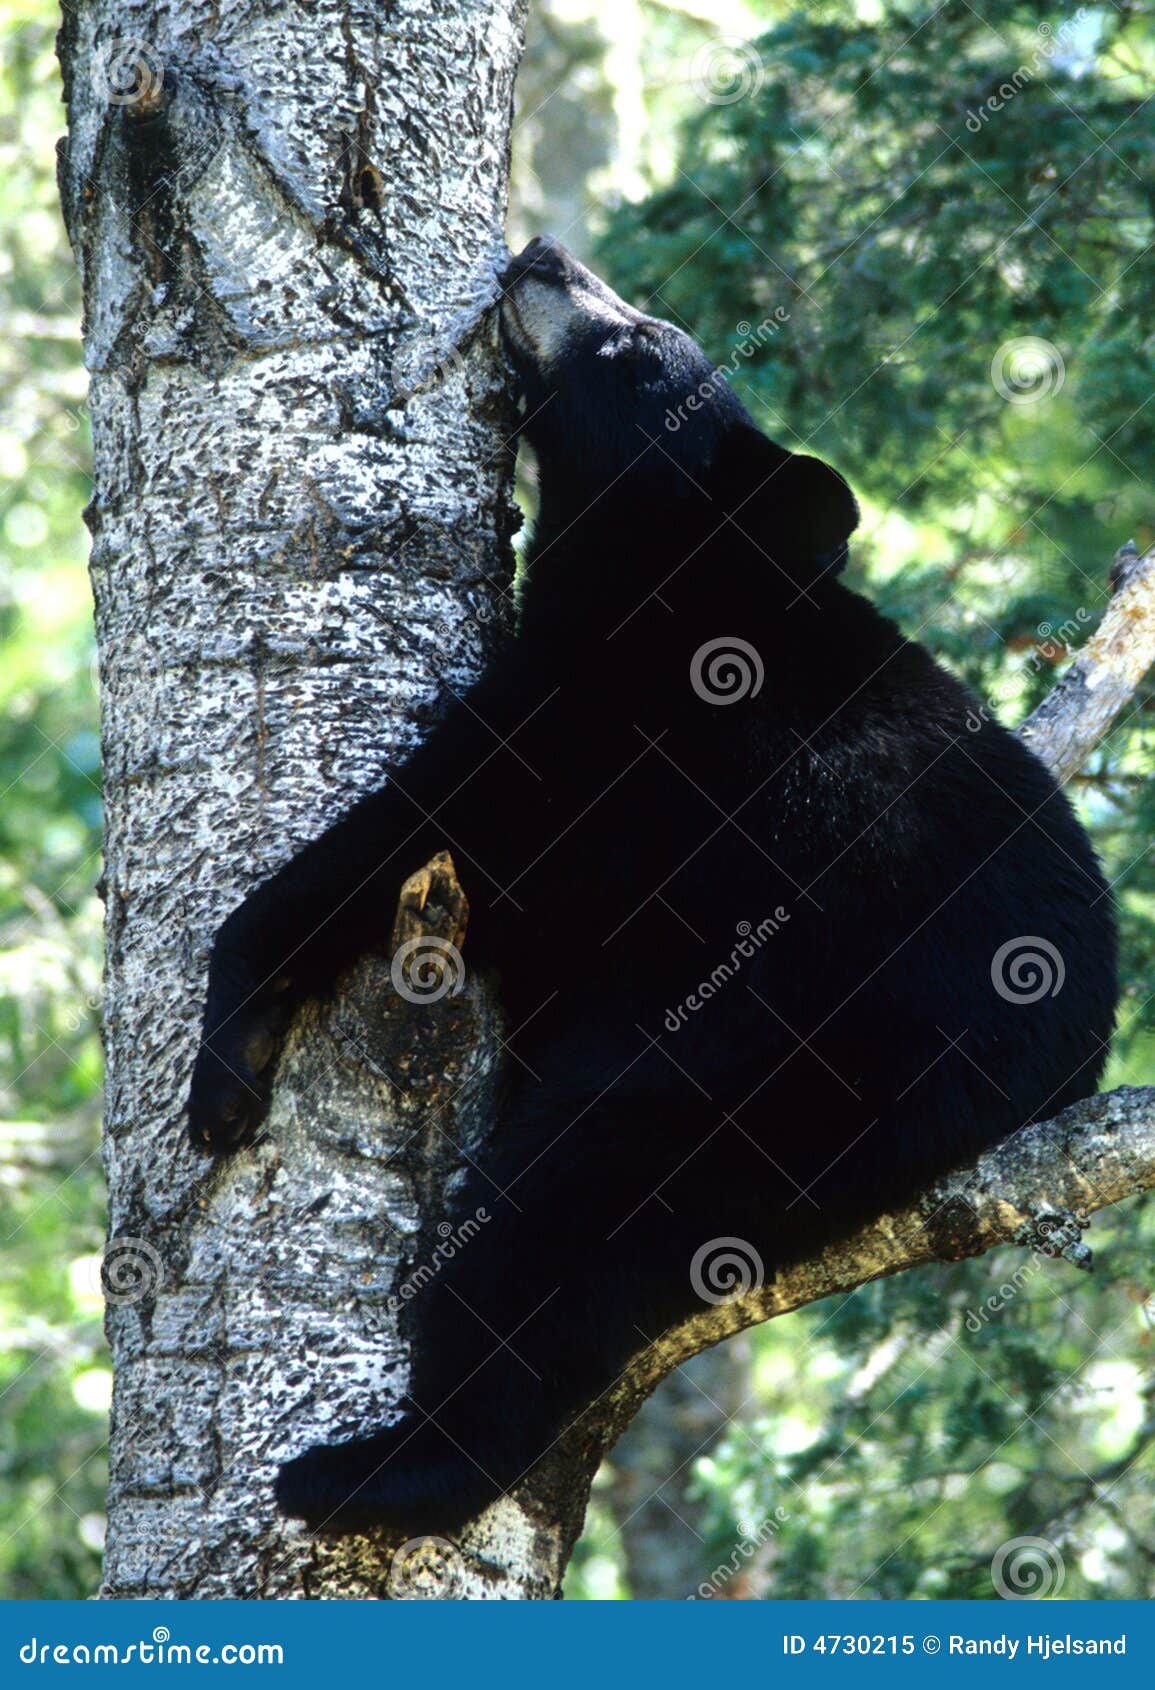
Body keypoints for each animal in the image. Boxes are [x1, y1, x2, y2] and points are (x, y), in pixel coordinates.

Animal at [189, 235, 1118, 1535]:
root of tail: (1072, 1065)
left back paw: (379, 1465)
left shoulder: (603, 735)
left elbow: (411, 834)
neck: (672, 595)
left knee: (556, 1229)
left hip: (794, 1066)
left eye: (635, 346)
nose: (541, 254)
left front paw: (224, 1067)